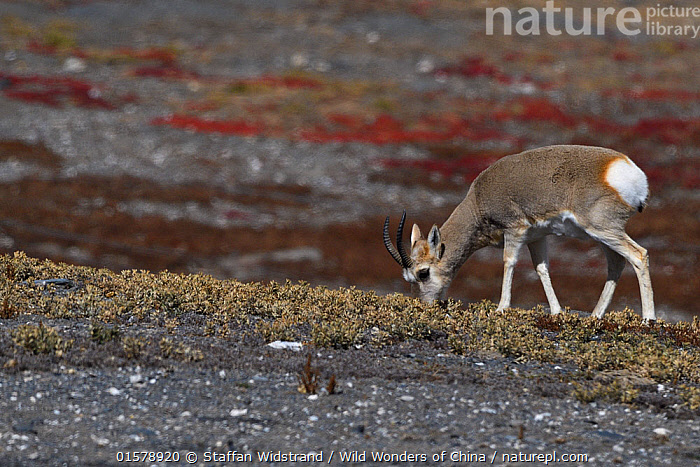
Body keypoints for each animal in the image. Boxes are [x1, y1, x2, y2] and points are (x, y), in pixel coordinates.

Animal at [384, 145, 655, 321]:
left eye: (423, 273)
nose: (425, 306)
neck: (478, 199)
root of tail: (628, 170)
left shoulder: (514, 230)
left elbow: (509, 262)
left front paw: (502, 307)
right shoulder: (537, 237)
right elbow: (541, 268)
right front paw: (556, 312)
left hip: (601, 229)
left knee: (638, 255)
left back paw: (648, 319)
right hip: (599, 235)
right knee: (617, 262)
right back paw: (595, 316)